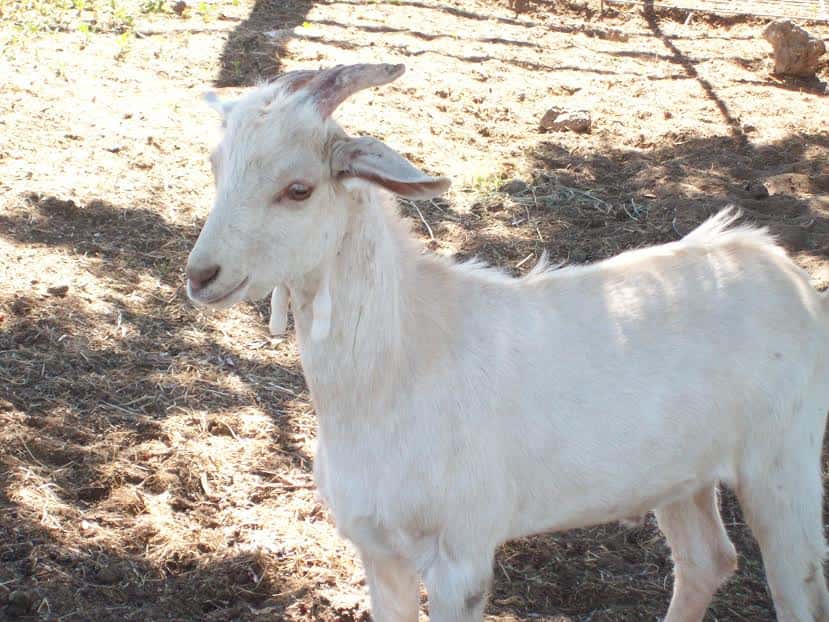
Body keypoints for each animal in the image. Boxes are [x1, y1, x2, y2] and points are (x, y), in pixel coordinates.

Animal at [186, 63, 829, 622]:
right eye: (216, 165)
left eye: (299, 189)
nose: (202, 275)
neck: (401, 363)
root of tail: (784, 270)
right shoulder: (377, 546)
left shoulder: (461, 553)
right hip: (681, 473)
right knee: (706, 560)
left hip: (783, 457)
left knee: (799, 587)